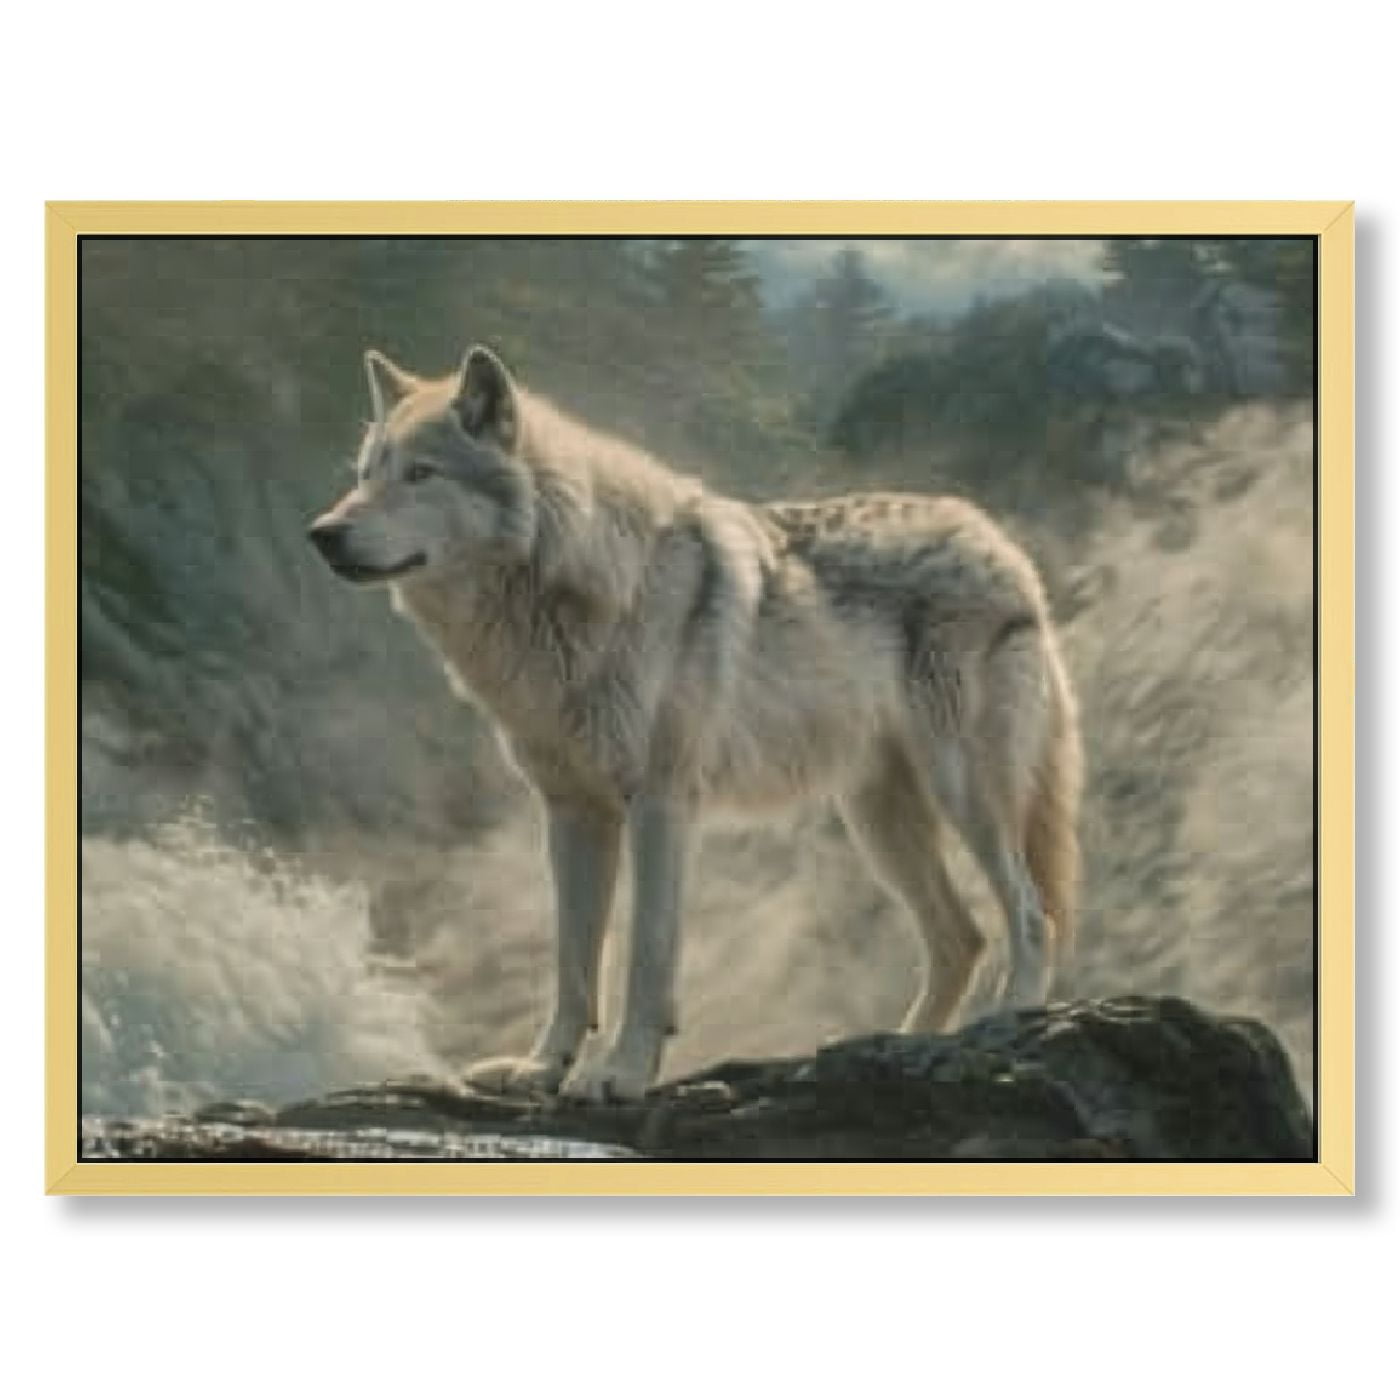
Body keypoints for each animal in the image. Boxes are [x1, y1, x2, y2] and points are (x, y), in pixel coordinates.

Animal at [308, 345, 1082, 1102]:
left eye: (420, 474)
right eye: (364, 474)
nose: (323, 535)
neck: (570, 591)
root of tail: (999, 543)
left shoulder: (660, 803)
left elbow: (648, 954)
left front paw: (620, 1074)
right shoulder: (573, 812)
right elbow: (573, 962)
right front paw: (542, 1069)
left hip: (964, 796)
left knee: (1030, 915)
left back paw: (1004, 1026)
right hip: (879, 822)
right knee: (961, 937)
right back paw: (901, 1046)